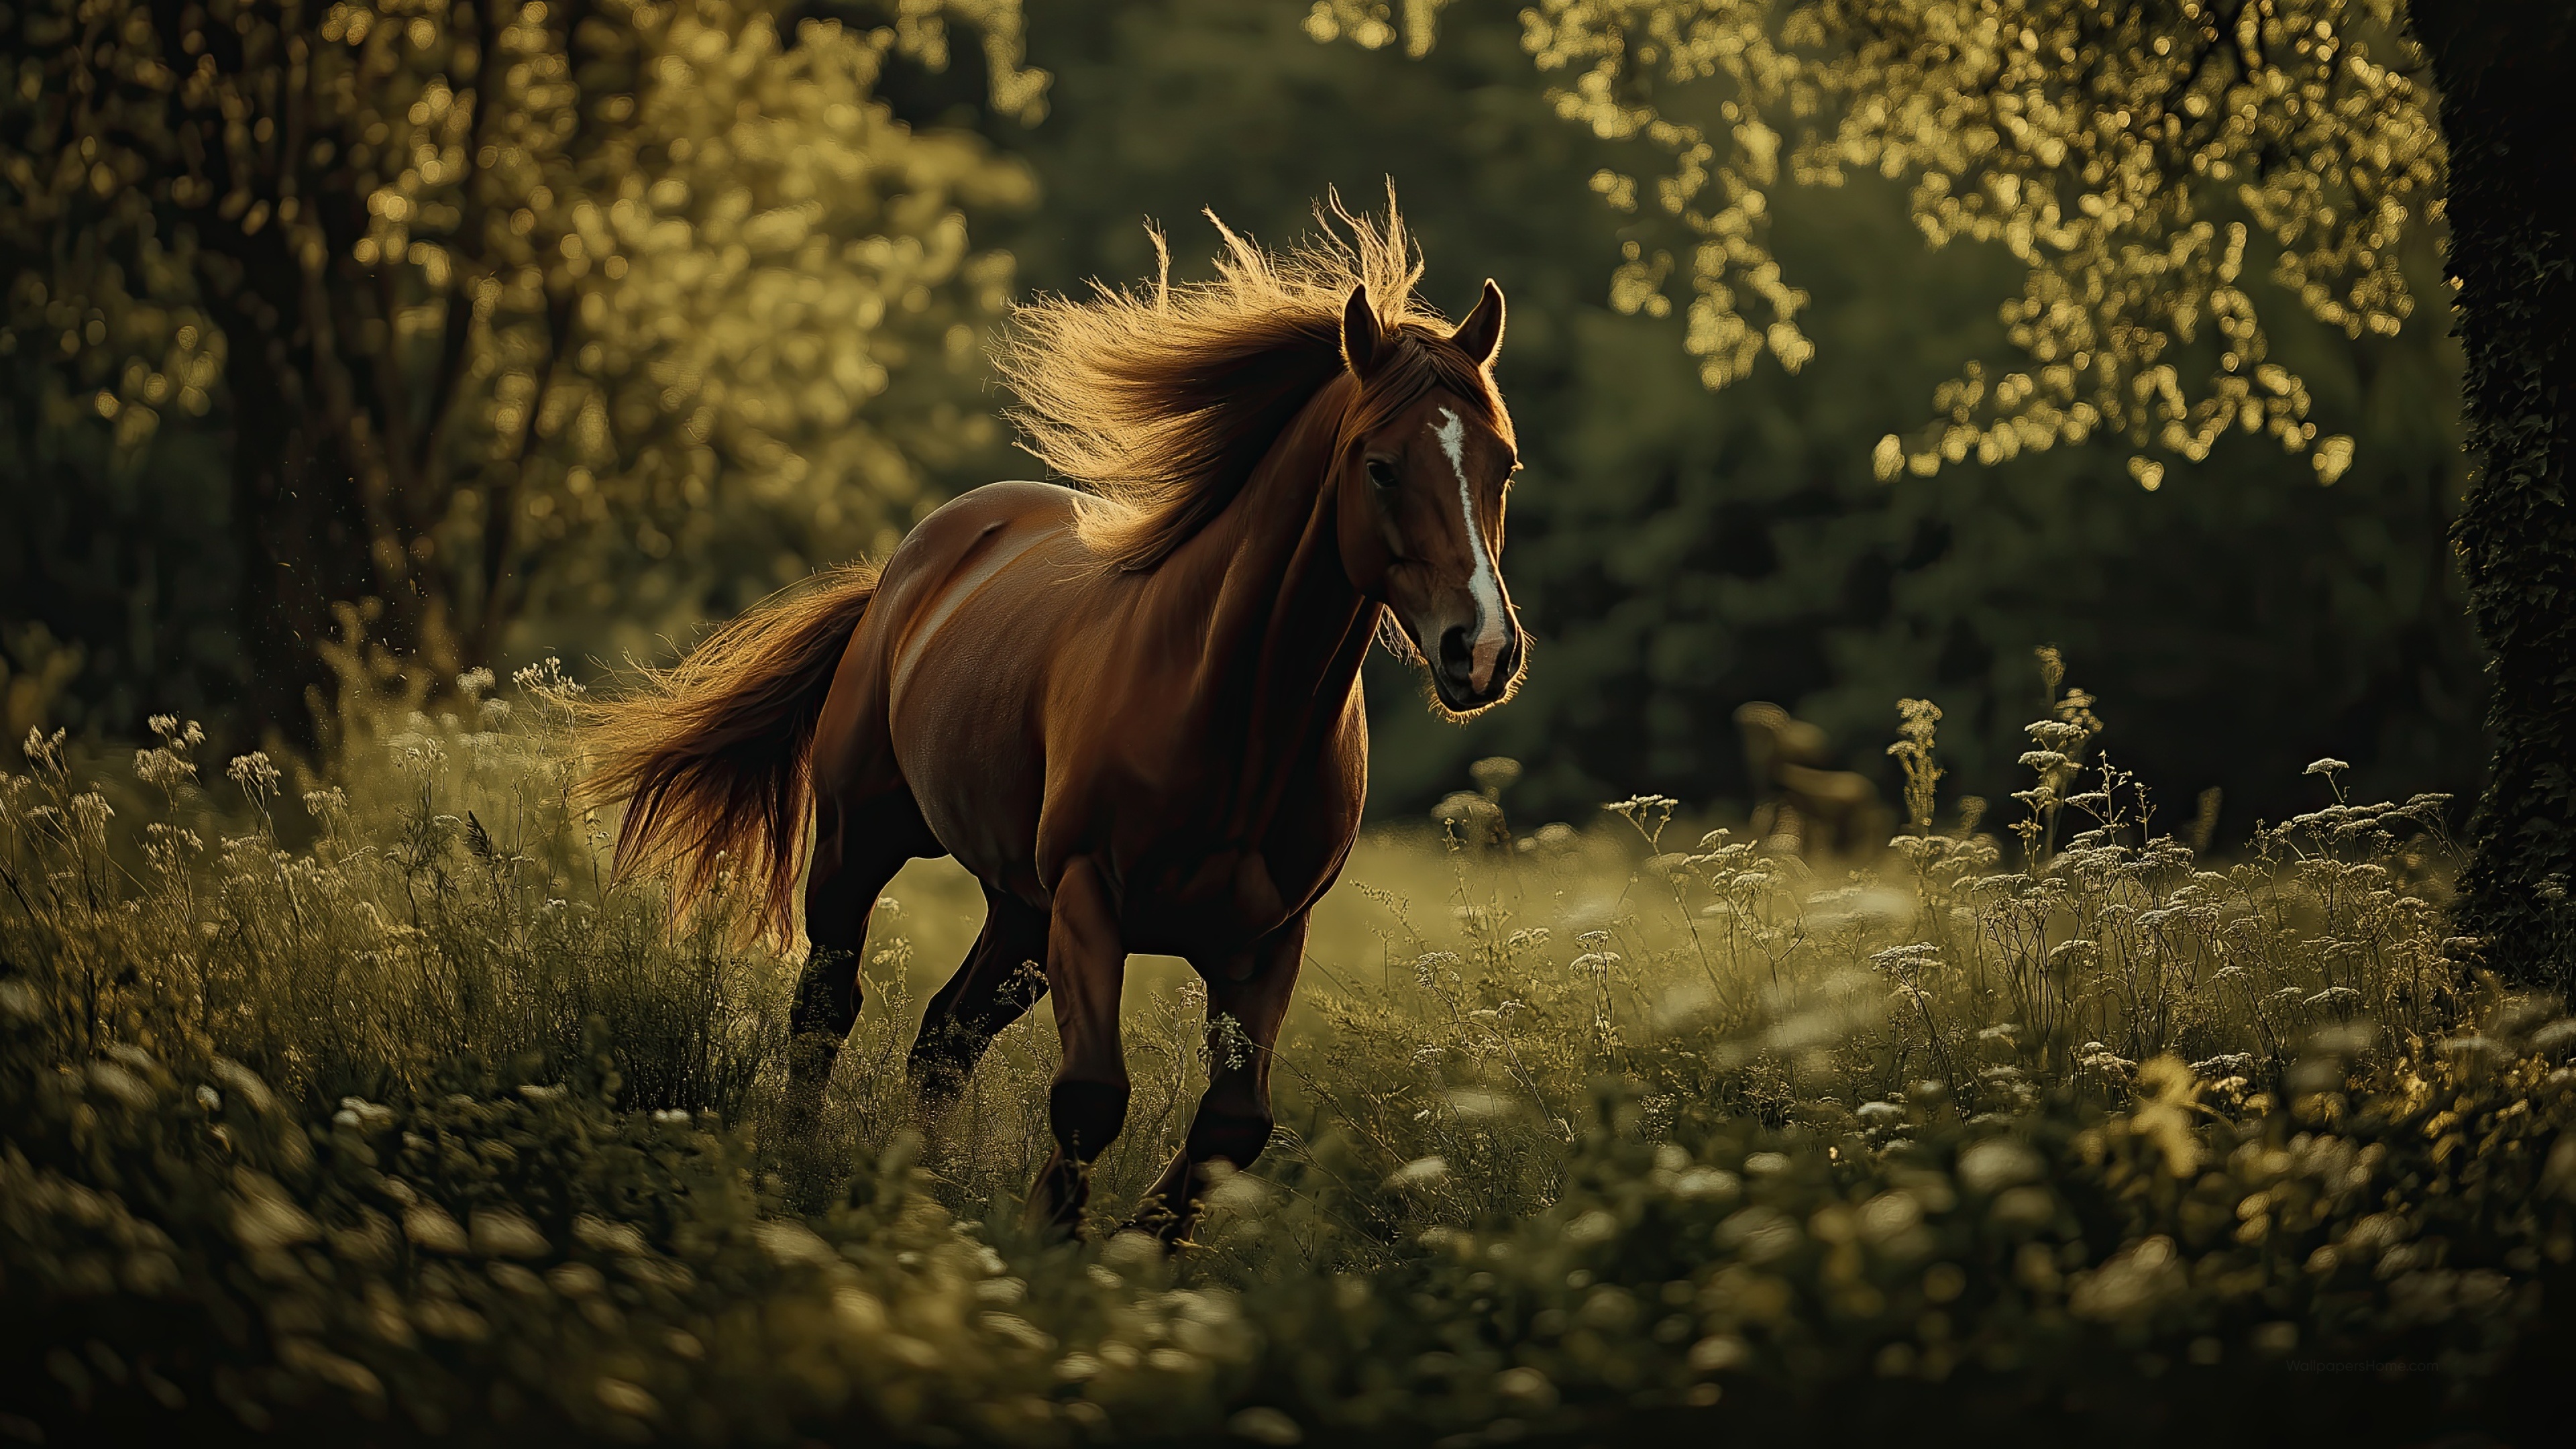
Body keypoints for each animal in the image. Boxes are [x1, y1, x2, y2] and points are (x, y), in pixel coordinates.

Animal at [585, 201, 1527, 1239]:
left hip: (1018, 908)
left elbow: (1232, 1125)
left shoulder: (1266, 937)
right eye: (1382, 466)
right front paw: (1051, 1247)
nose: (1481, 651)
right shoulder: (1089, 896)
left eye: (1503, 466)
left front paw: (1124, 1251)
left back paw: (925, 1193)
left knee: (943, 1038)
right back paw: (801, 1169)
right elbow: (1090, 1098)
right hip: (864, 841)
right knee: (828, 1004)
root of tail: (904, 569)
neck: (1232, 714)